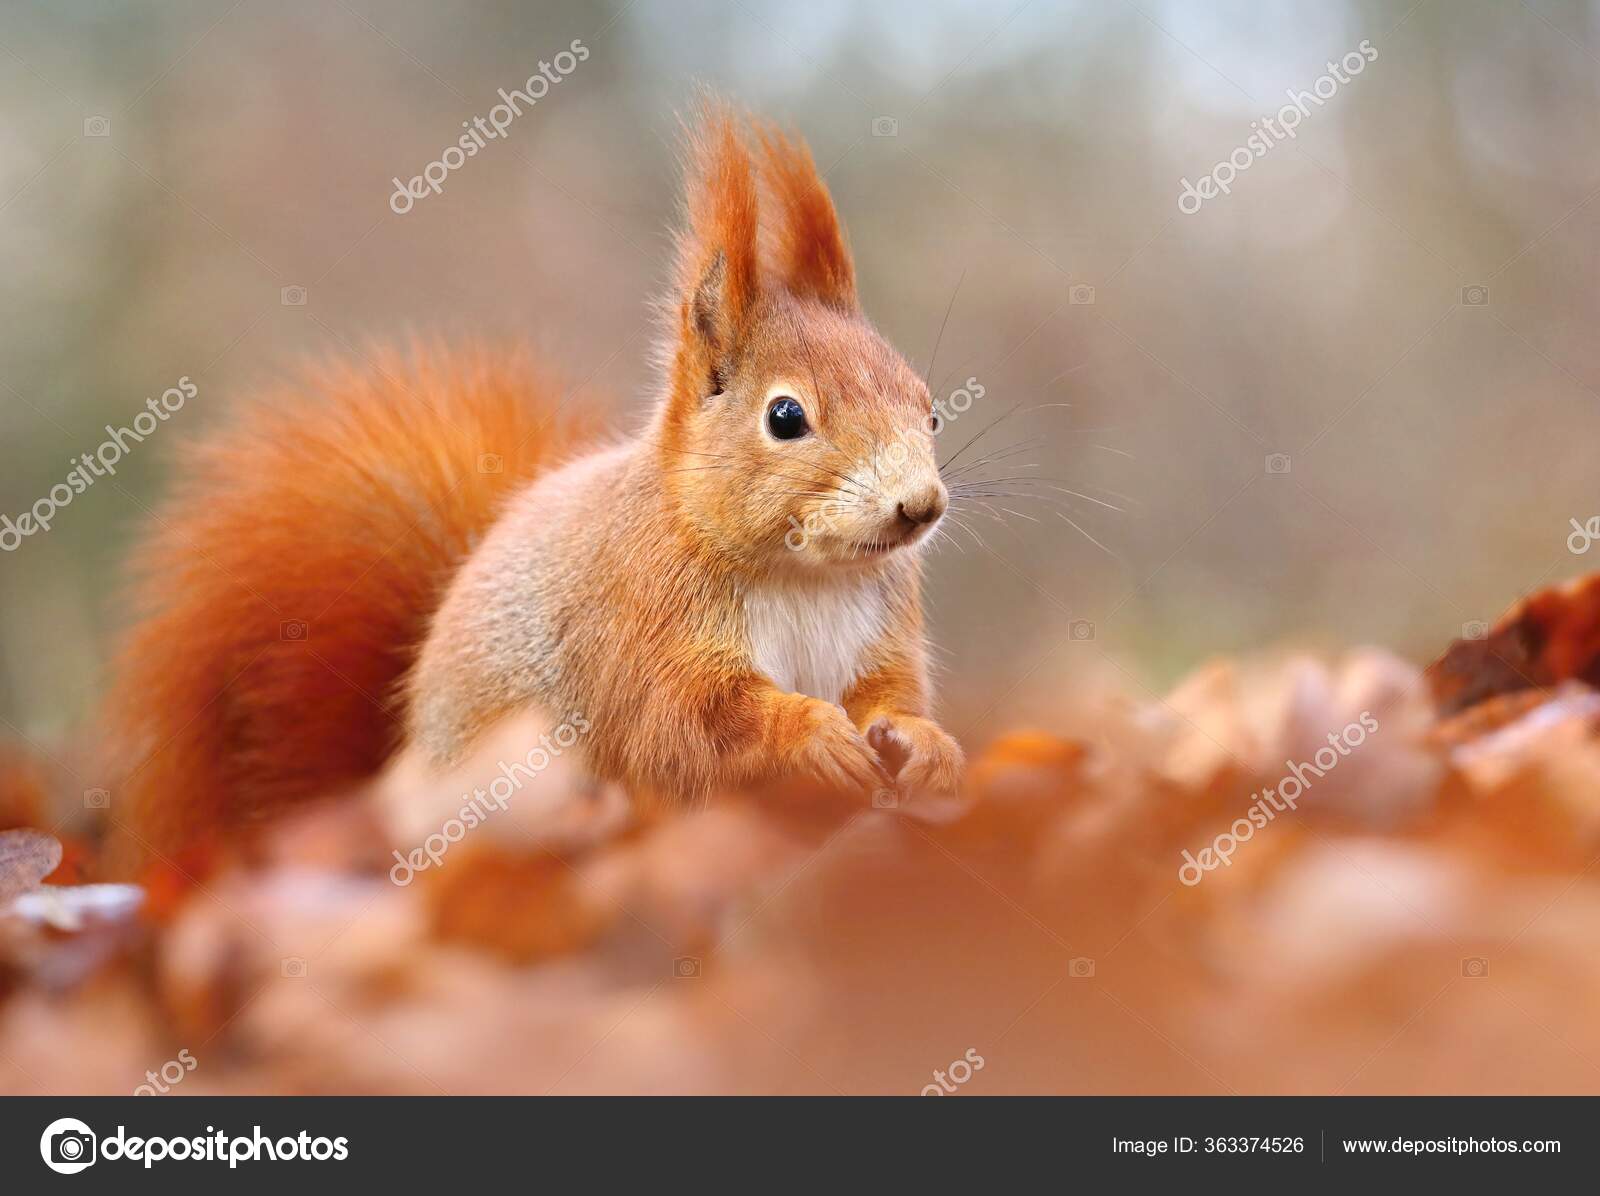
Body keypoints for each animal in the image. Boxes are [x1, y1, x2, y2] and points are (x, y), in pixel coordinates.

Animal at [100, 102, 963, 875]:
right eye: (786, 416)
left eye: (929, 406)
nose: (919, 506)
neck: (802, 576)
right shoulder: (643, 627)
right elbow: (685, 726)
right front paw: (812, 733)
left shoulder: (881, 632)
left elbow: (892, 694)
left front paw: (924, 745)